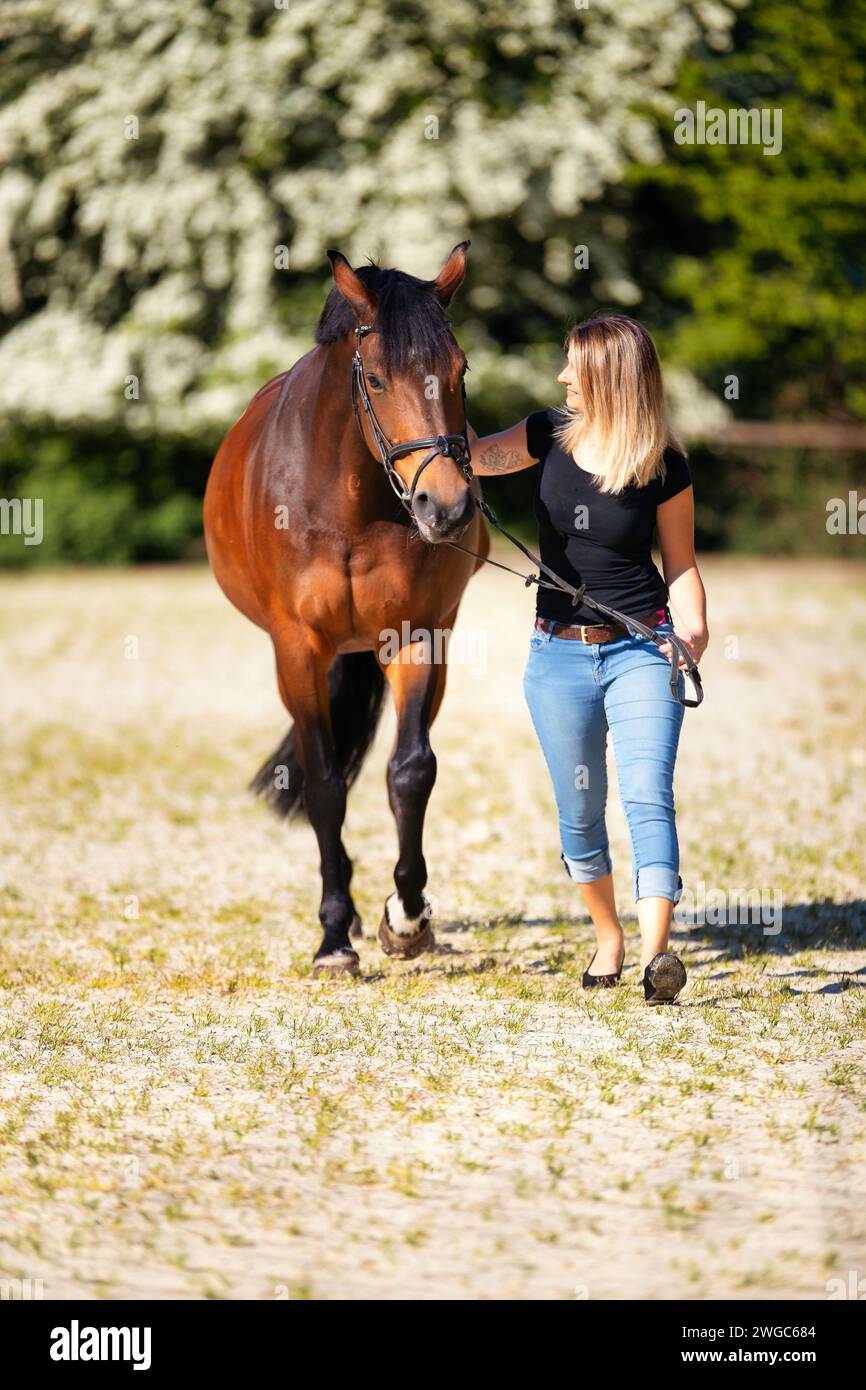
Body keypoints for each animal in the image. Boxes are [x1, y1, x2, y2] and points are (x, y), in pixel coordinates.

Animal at [204, 243, 489, 977]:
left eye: (460, 370)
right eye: (379, 379)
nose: (447, 508)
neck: (349, 503)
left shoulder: (417, 636)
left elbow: (411, 771)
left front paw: (407, 919)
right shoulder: (298, 648)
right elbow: (325, 786)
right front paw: (334, 935)